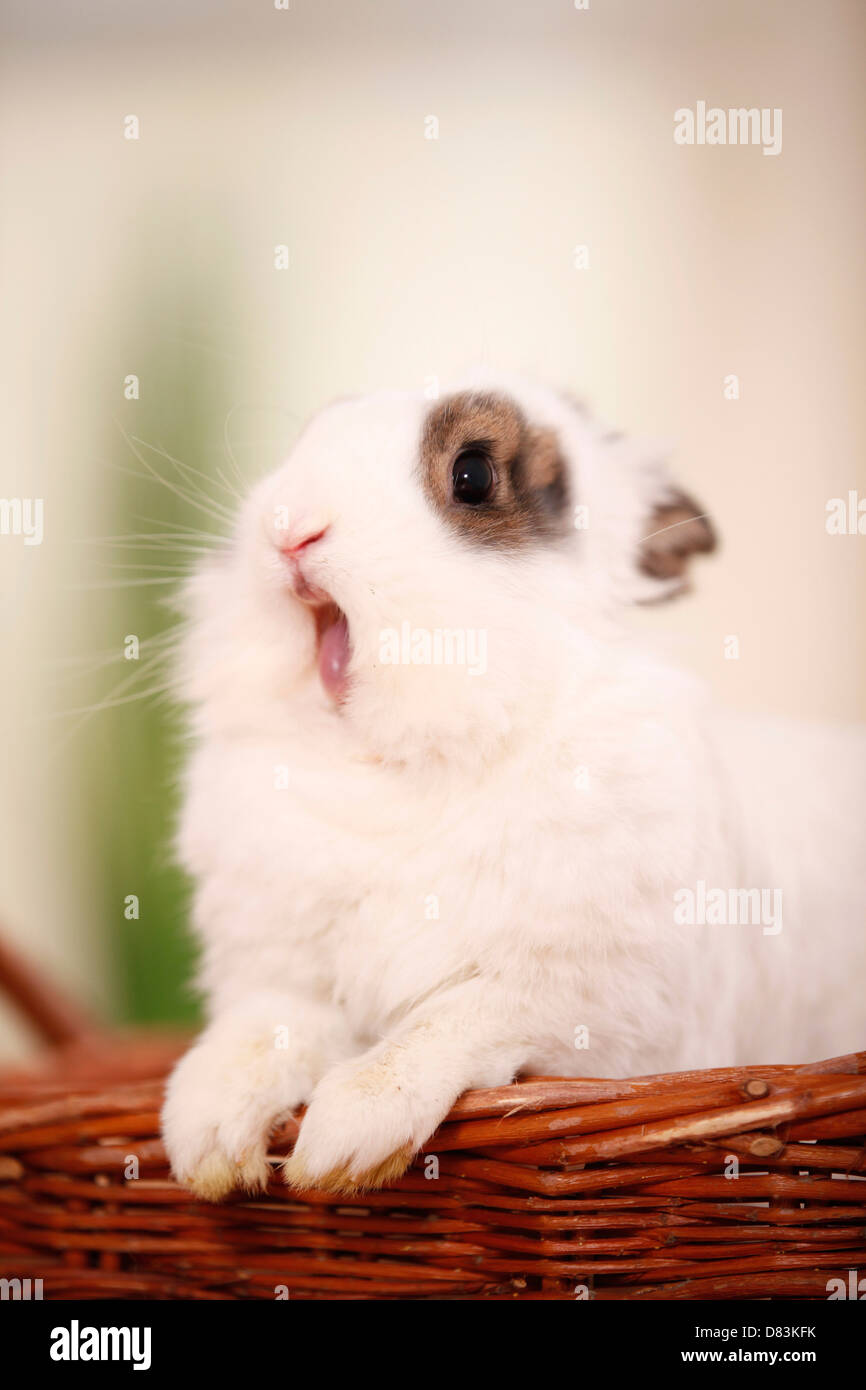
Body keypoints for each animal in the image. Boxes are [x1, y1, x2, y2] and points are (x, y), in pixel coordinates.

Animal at [161, 373, 866, 1200]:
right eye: (308, 437)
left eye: (473, 474)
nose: (292, 530)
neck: (399, 767)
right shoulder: (282, 980)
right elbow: (259, 1034)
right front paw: (205, 1145)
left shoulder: (584, 1006)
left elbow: (450, 1020)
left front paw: (343, 1145)